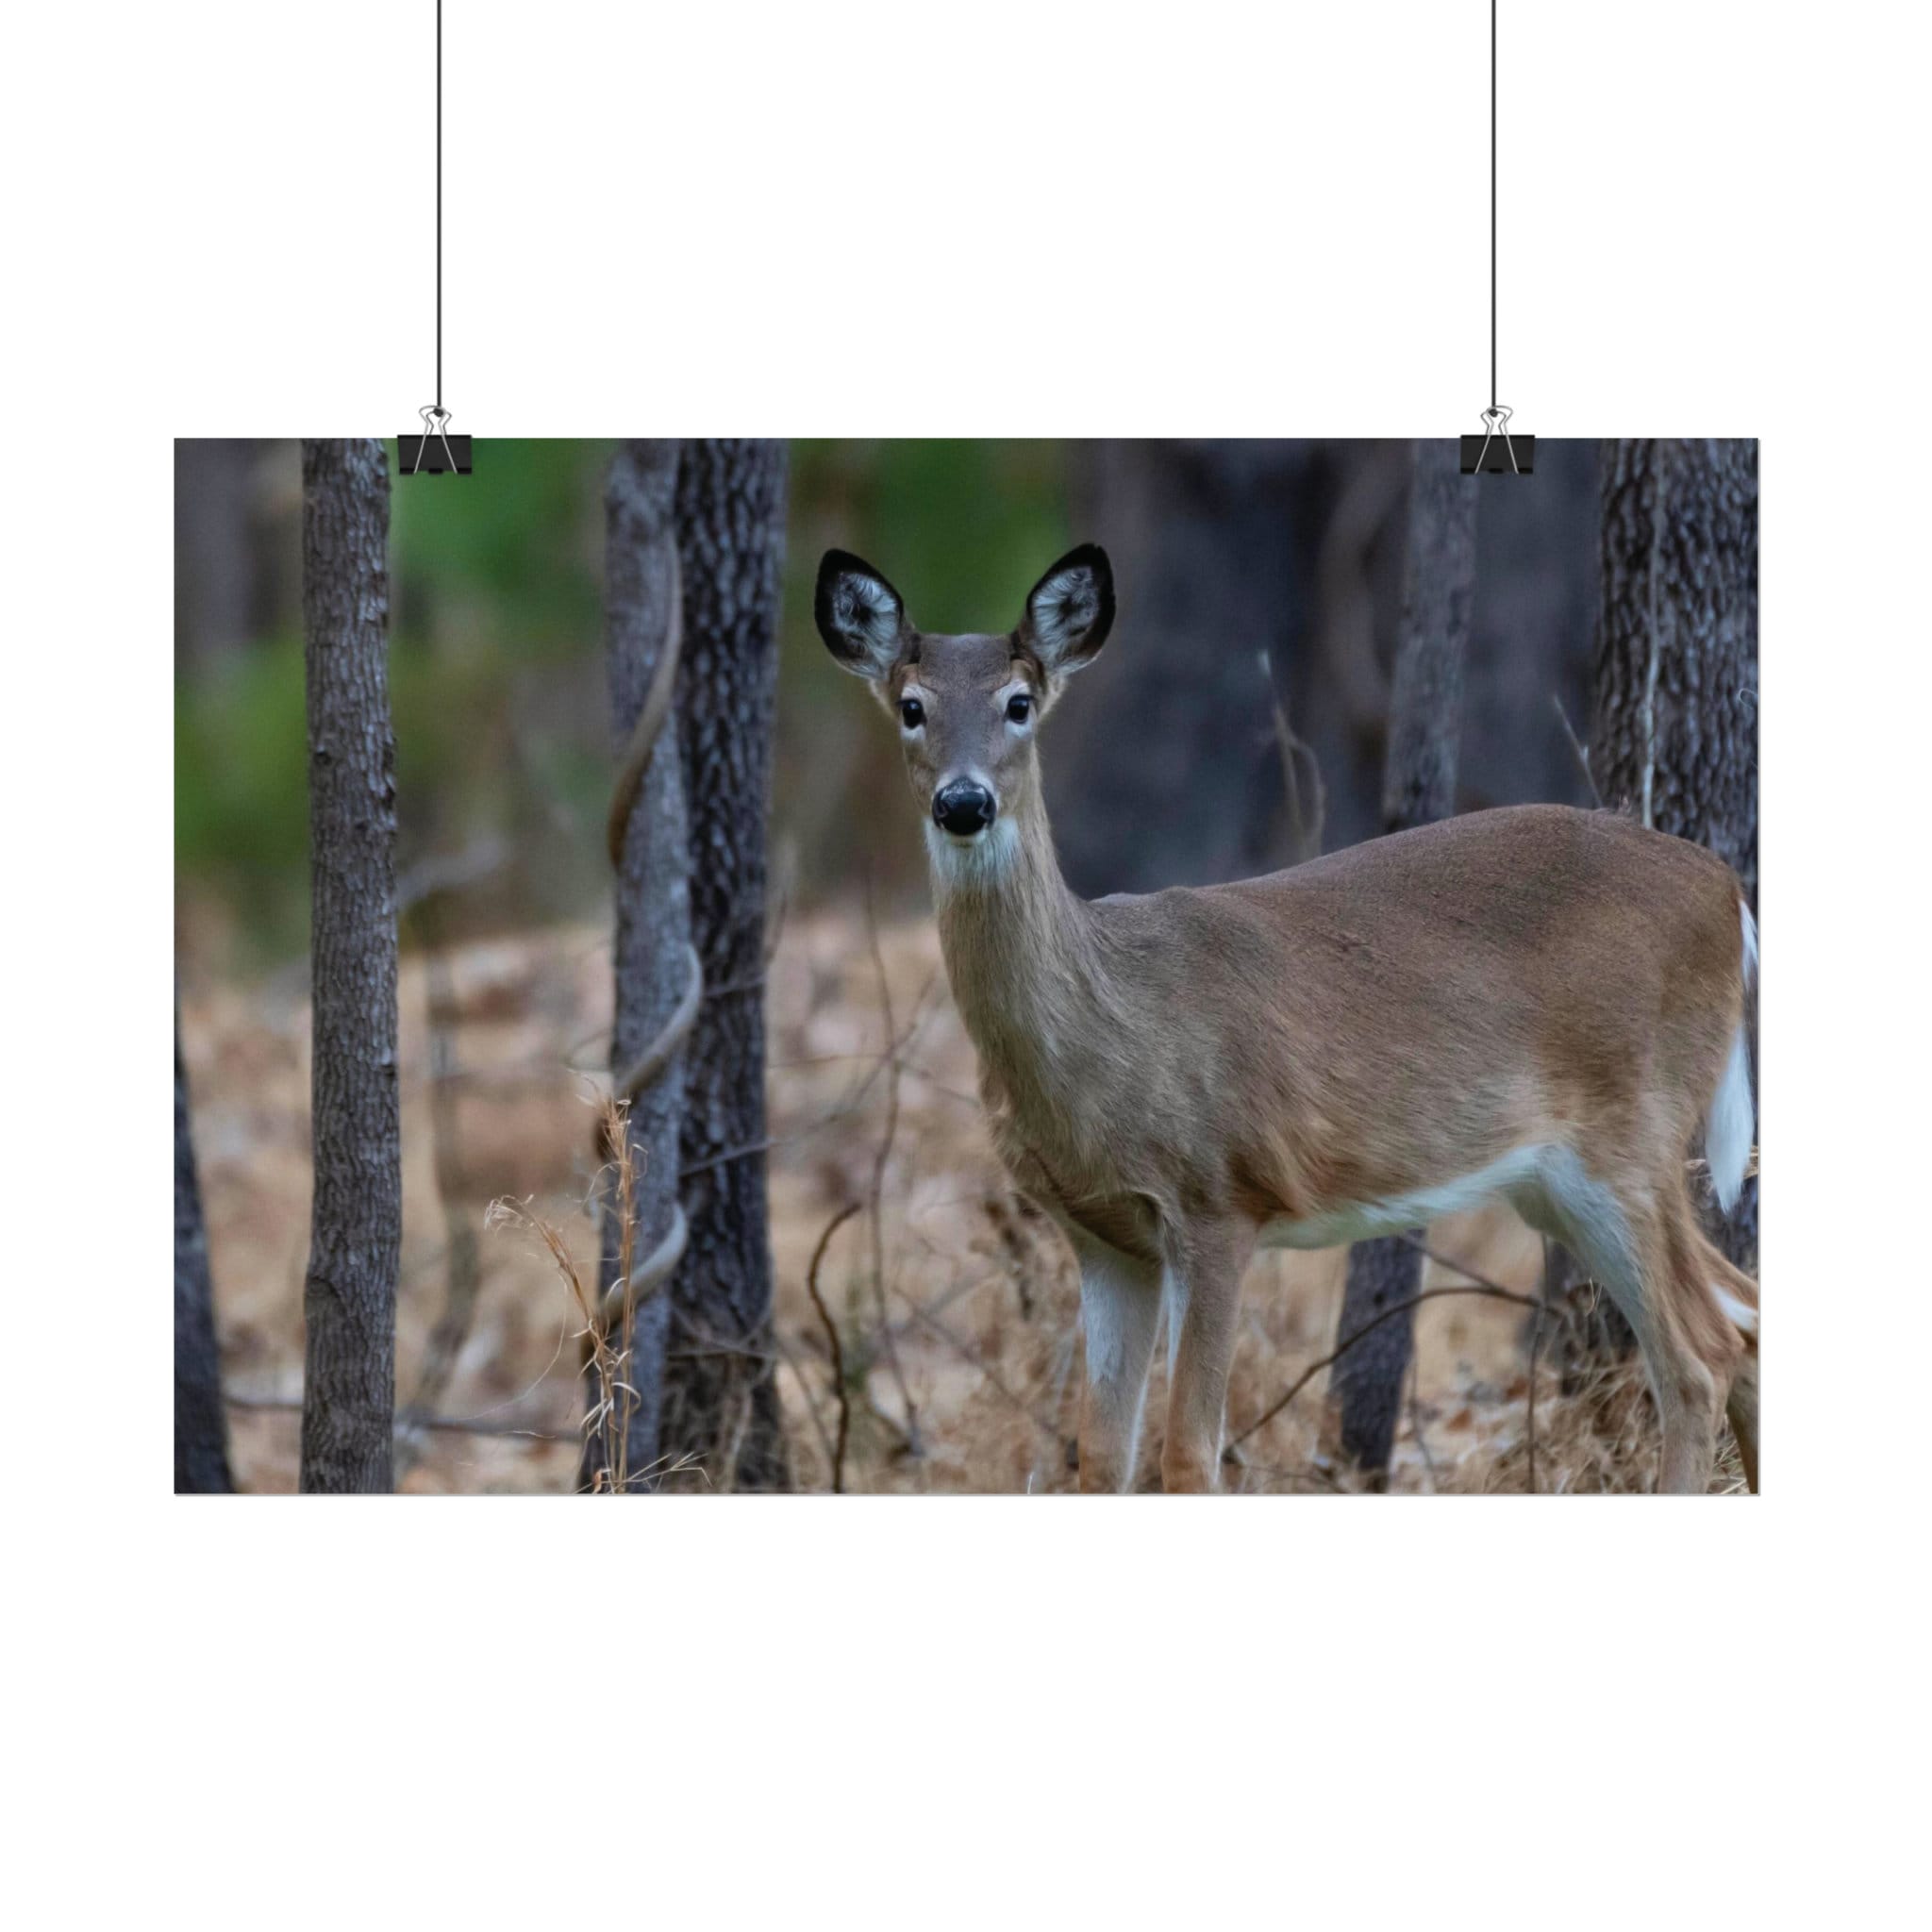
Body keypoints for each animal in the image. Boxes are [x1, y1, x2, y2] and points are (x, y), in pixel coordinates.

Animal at [815, 543, 1760, 1495]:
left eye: (1018, 704)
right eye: (911, 707)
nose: (963, 803)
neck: (1108, 1031)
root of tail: (1728, 892)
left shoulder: (1219, 1195)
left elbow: (1188, 1452)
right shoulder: (1105, 1236)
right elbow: (1101, 1456)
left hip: (1628, 1132)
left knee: (1700, 1357)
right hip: (1554, 1181)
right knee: (1745, 1314)